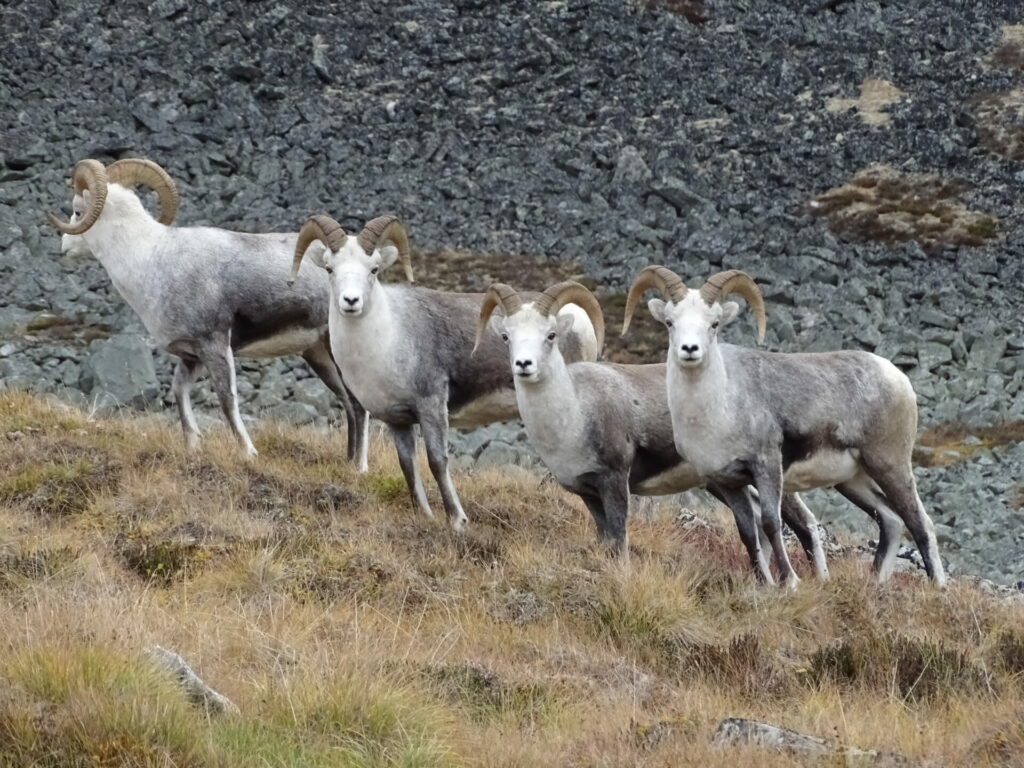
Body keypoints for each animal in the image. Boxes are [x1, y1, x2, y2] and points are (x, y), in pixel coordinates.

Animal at [47, 158, 368, 464]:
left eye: (77, 211)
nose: (64, 246)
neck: (151, 260)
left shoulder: (214, 346)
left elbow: (227, 401)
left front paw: (249, 454)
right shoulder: (191, 357)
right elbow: (179, 392)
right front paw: (193, 446)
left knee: (358, 405)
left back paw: (358, 468)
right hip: (318, 356)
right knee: (349, 404)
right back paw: (347, 462)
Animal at [288, 215, 600, 531]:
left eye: (374, 269)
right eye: (329, 268)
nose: (351, 301)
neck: (387, 338)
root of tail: (579, 319)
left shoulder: (432, 405)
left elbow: (437, 461)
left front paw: (458, 520)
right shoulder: (397, 420)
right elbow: (408, 465)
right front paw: (424, 514)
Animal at [475, 279, 829, 579]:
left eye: (550, 335)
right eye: (506, 337)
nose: (524, 365)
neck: (572, 415)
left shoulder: (615, 482)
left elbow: (620, 539)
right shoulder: (589, 494)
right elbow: (606, 541)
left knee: (803, 524)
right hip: (724, 483)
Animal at [622, 265, 946, 588]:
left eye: (713, 323)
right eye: (669, 322)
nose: (690, 350)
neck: (717, 410)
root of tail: (897, 377)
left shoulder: (767, 467)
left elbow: (770, 522)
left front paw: (789, 582)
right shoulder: (729, 483)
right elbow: (748, 532)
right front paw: (764, 583)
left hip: (889, 465)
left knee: (920, 523)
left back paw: (938, 586)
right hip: (853, 480)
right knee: (890, 520)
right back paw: (875, 582)